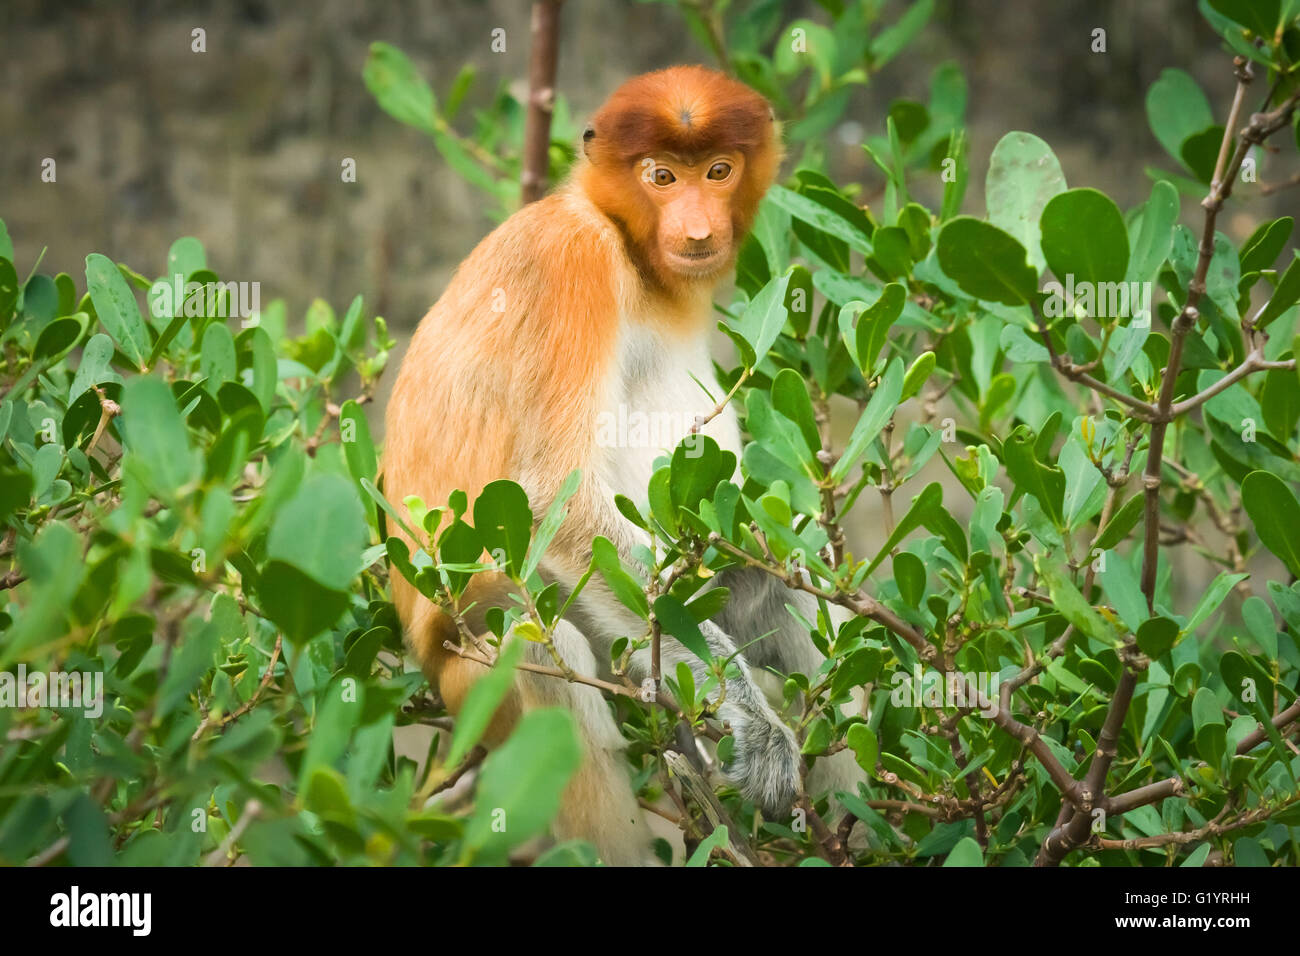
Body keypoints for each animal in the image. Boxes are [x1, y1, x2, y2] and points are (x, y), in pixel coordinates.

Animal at [384, 65, 861, 865]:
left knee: (774, 584)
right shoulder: (570, 265)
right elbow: (553, 498)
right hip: (474, 668)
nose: (696, 231)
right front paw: (756, 729)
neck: (630, 251)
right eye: (660, 177)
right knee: (538, 648)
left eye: (718, 171)